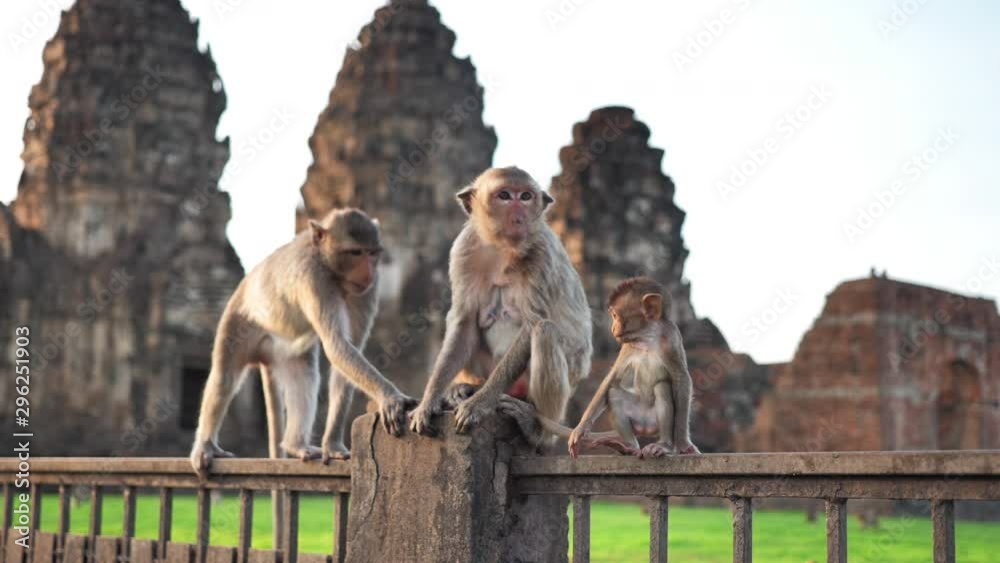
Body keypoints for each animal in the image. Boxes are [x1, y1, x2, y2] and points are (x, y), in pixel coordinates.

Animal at [189, 208, 415, 477]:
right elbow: (337, 346)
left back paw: (295, 445)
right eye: (355, 253)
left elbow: (347, 354)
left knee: (303, 376)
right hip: (238, 321)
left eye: (372, 253)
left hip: (288, 350)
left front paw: (333, 444)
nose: (369, 272)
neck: (330, 268)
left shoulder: (369, 288)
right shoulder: (314, 279)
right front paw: (390, 397)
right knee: (224, 376)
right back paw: (205, 445)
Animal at [409, 166, 593, 437]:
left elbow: (531, 324)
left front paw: (479, 404)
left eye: (526, 197)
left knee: (545, 331)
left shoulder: (542, 254)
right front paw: (429, 401)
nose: (519, 218)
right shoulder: (463, 249)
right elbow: (464, 323)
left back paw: (535, 428)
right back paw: (463, 388)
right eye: (504, 195)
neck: (502, 248)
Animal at [499, 277, 700, 459]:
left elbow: (681, 380)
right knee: (614, 394)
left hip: (653, 420)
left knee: (662, 387)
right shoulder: (627, 347)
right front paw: (579, 430)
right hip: (637, 419)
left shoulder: (671, 339)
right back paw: (628, 446)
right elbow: (611, 379)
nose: (613, 328)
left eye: (616, 315)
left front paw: (684, 444)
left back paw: (664, 445)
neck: (647, 338)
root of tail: (645, 429)